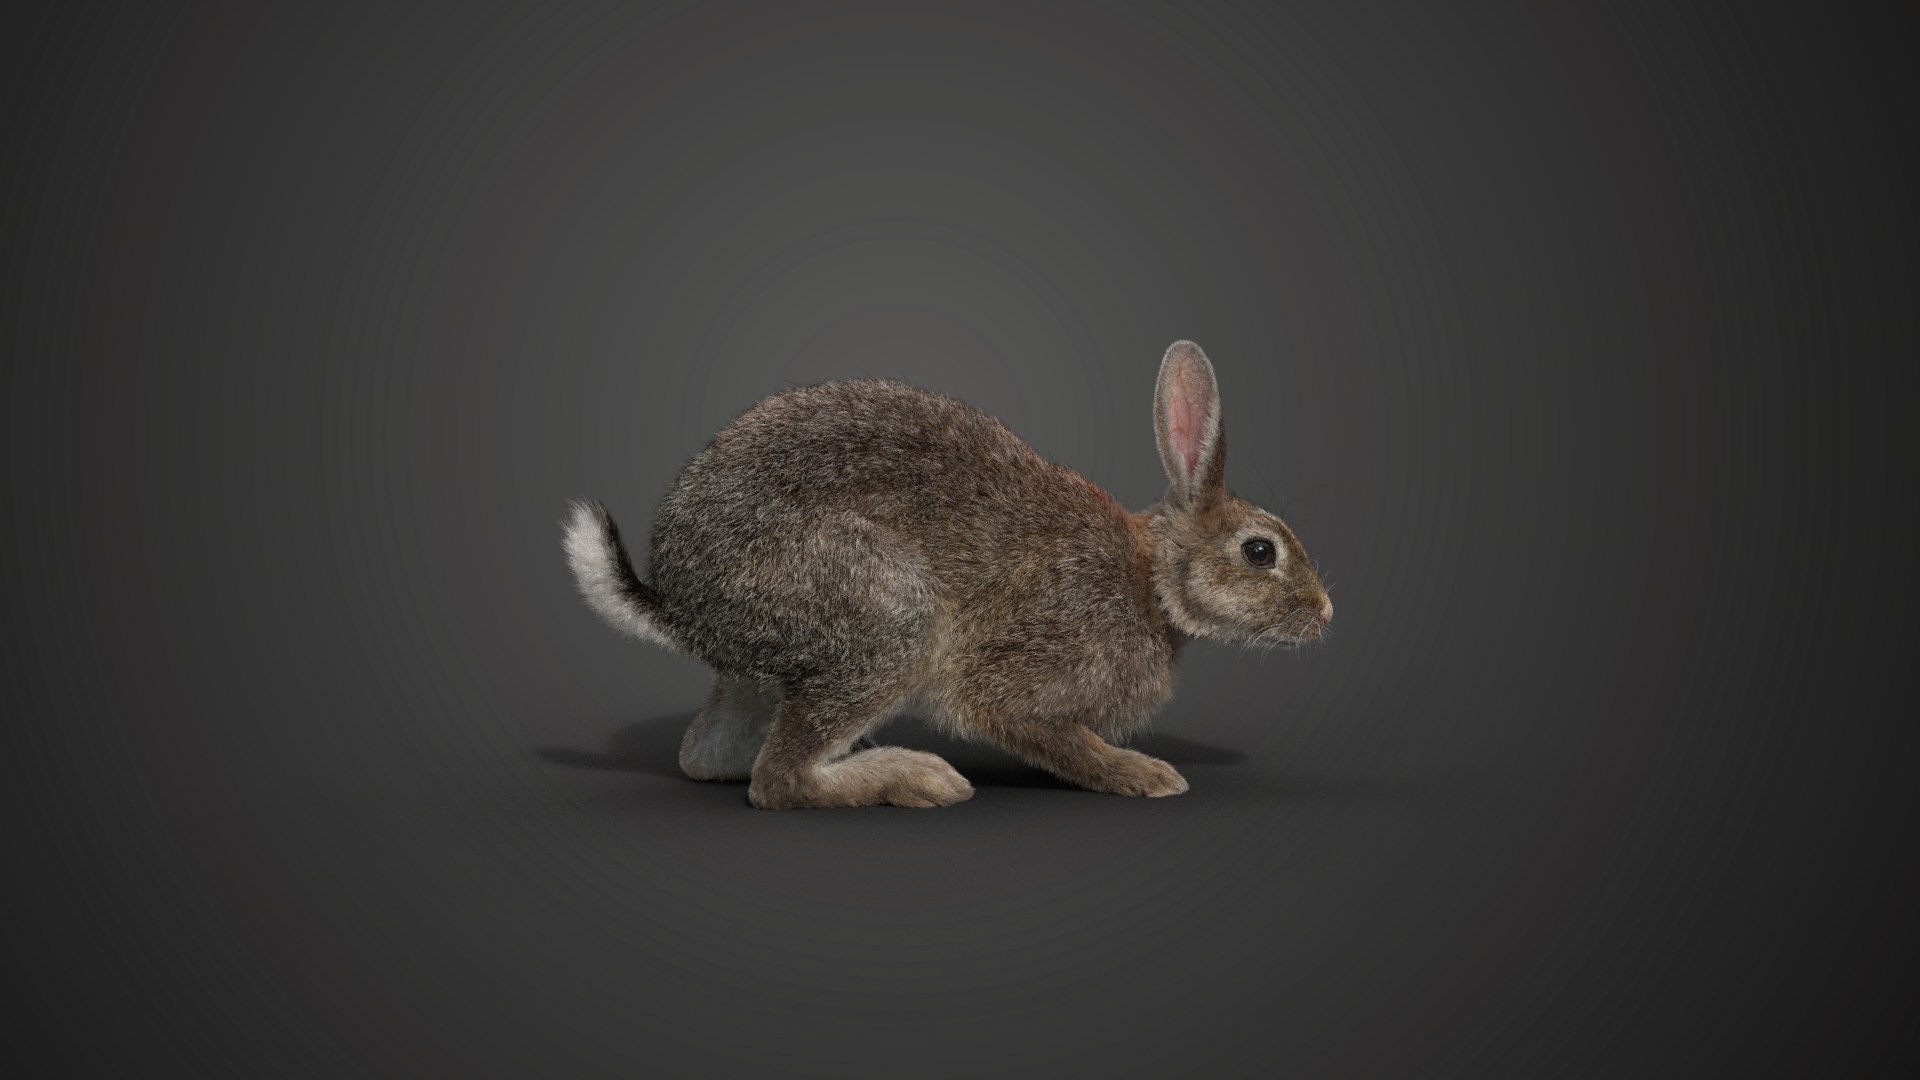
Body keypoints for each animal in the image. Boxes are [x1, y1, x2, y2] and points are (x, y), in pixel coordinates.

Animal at [563, 340, 1333, 809]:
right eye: (1260, 552)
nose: (1326, 613)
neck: (1152, 582)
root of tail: (680, 600)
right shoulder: (1015, 684)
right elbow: (1053, 736)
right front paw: (1145, 775)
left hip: (768, 665)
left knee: (709, 755)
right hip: (886, 617)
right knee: (778, 781)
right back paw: (920, 778)